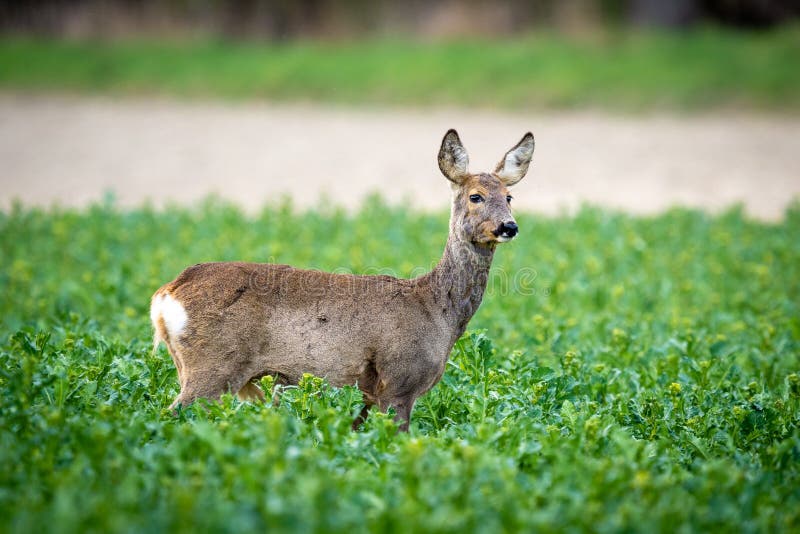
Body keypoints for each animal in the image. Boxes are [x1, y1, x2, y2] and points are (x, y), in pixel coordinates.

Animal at [150, 129, 534, 431]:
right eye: (475, 196)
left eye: (509, 196)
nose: (509, 226)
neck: (437, 310)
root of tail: (166, 294)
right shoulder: (399, 380)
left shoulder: (367, 394)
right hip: (214, 365)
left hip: (192, 366)